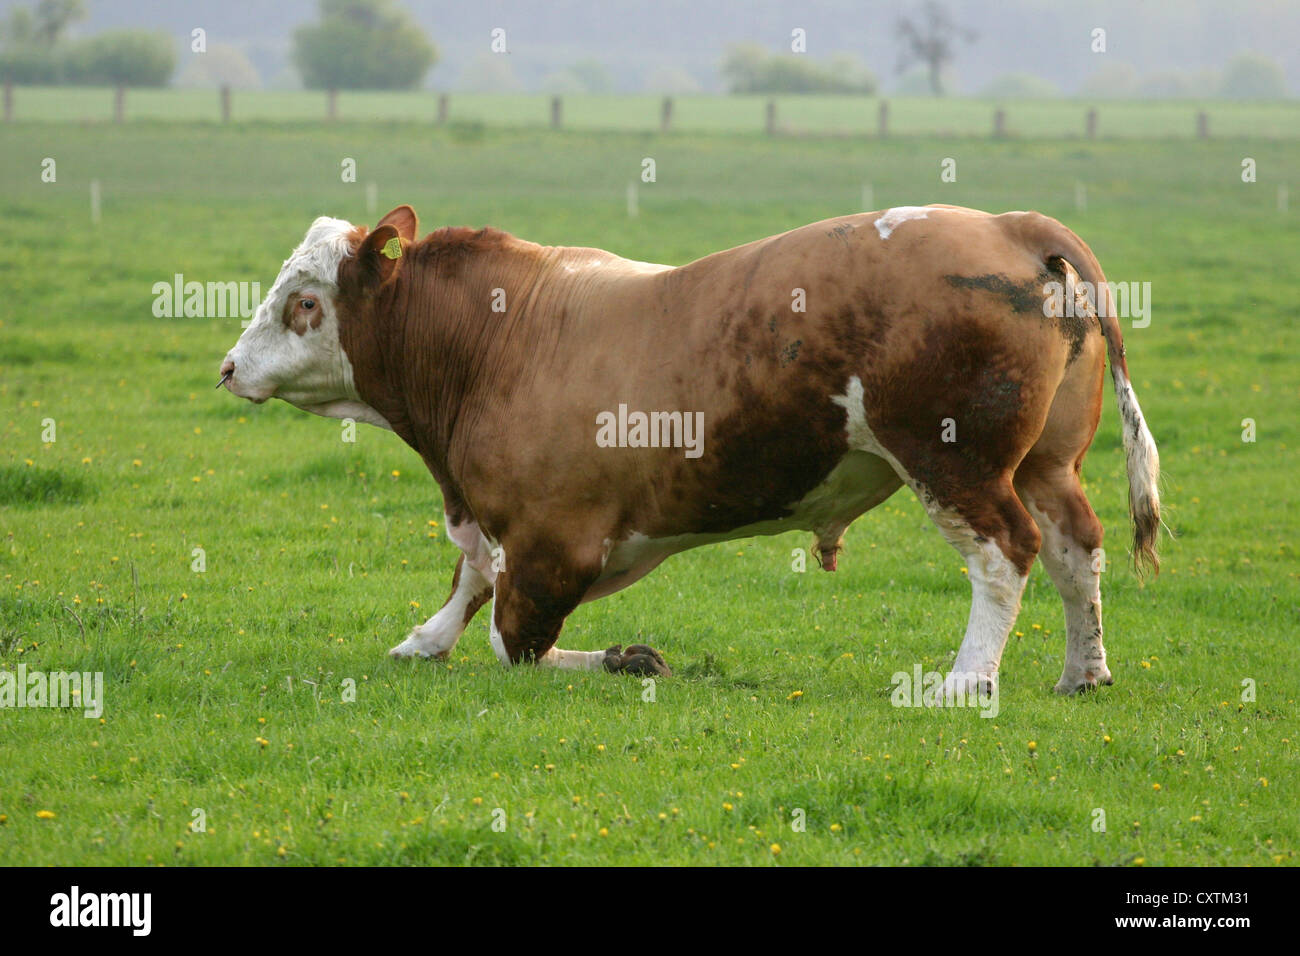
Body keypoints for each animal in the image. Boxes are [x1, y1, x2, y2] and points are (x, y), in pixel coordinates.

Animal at [219, 203, 1160, 695]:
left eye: (304, 303)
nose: (229, 367)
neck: (497, 343)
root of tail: (1008, 224)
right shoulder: (499, 523)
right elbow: (470, 582)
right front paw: (424, 638)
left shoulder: (555, 545)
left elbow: (513, 641)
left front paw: (621, 657)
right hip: (1045, 464)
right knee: (1077, 548)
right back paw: (1084, 671)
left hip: (954, 460)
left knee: (1006, 554)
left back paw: (967, 680)